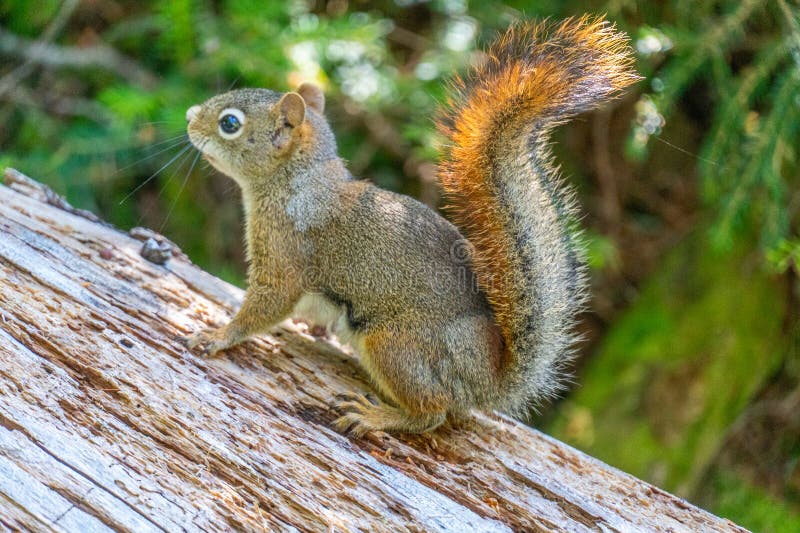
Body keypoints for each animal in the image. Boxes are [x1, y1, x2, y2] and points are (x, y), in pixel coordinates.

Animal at [183, 16, 638, 436]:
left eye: (229, 123)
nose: (188, 117)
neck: (295, 182)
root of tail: (489, 383)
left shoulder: (287, 254)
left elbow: (266, 306)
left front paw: (219, 335)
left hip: (395, 345)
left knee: (432, 412)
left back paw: (378, 416)